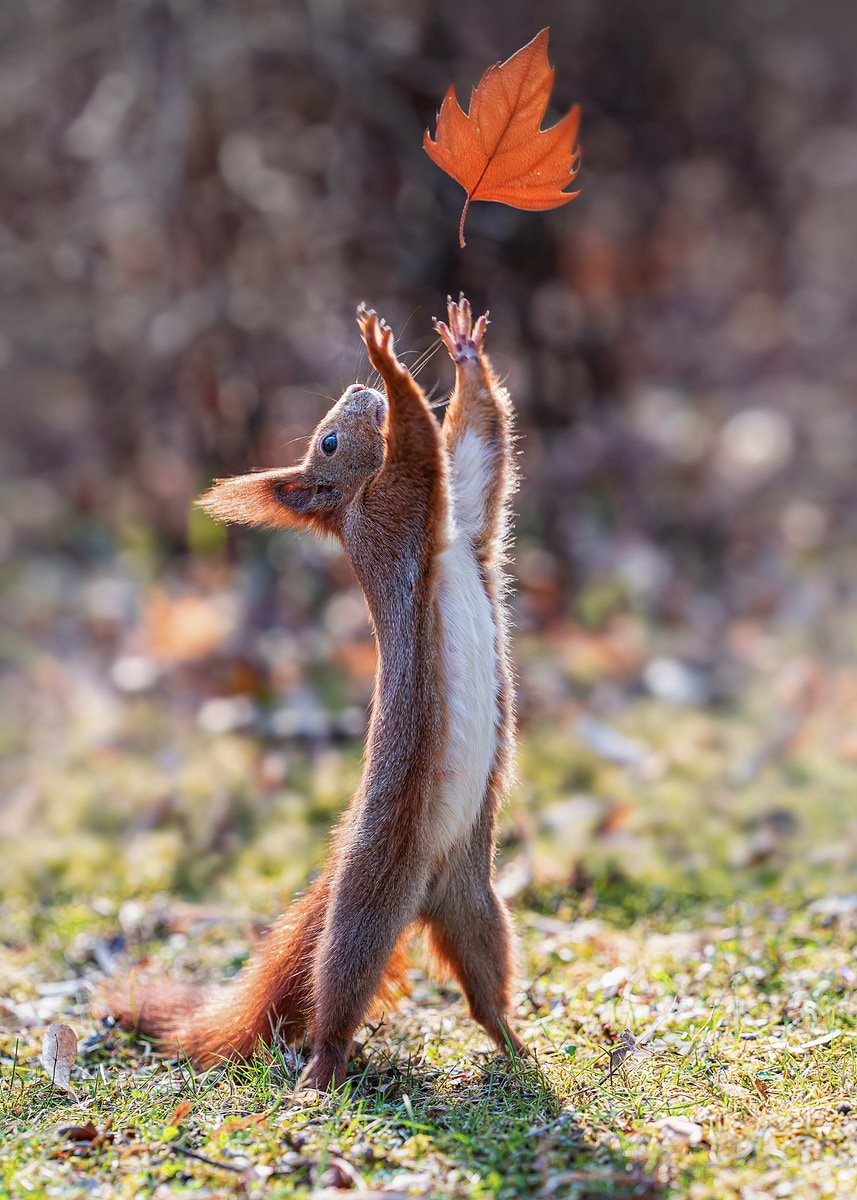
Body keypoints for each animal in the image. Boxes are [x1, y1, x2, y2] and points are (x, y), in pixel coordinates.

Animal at [104, 296, 524, 1090]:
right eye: (328, 442)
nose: (359, 390)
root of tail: (422, 892)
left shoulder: (465, 516)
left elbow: (478, 446)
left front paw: (460, 353)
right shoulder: (396, 516)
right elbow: (420, 444)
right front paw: (389, 364)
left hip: (474, 901)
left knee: (482, 986)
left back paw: (516, 1045)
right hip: (368, 902)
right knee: (338, 990)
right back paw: (319, 1076)